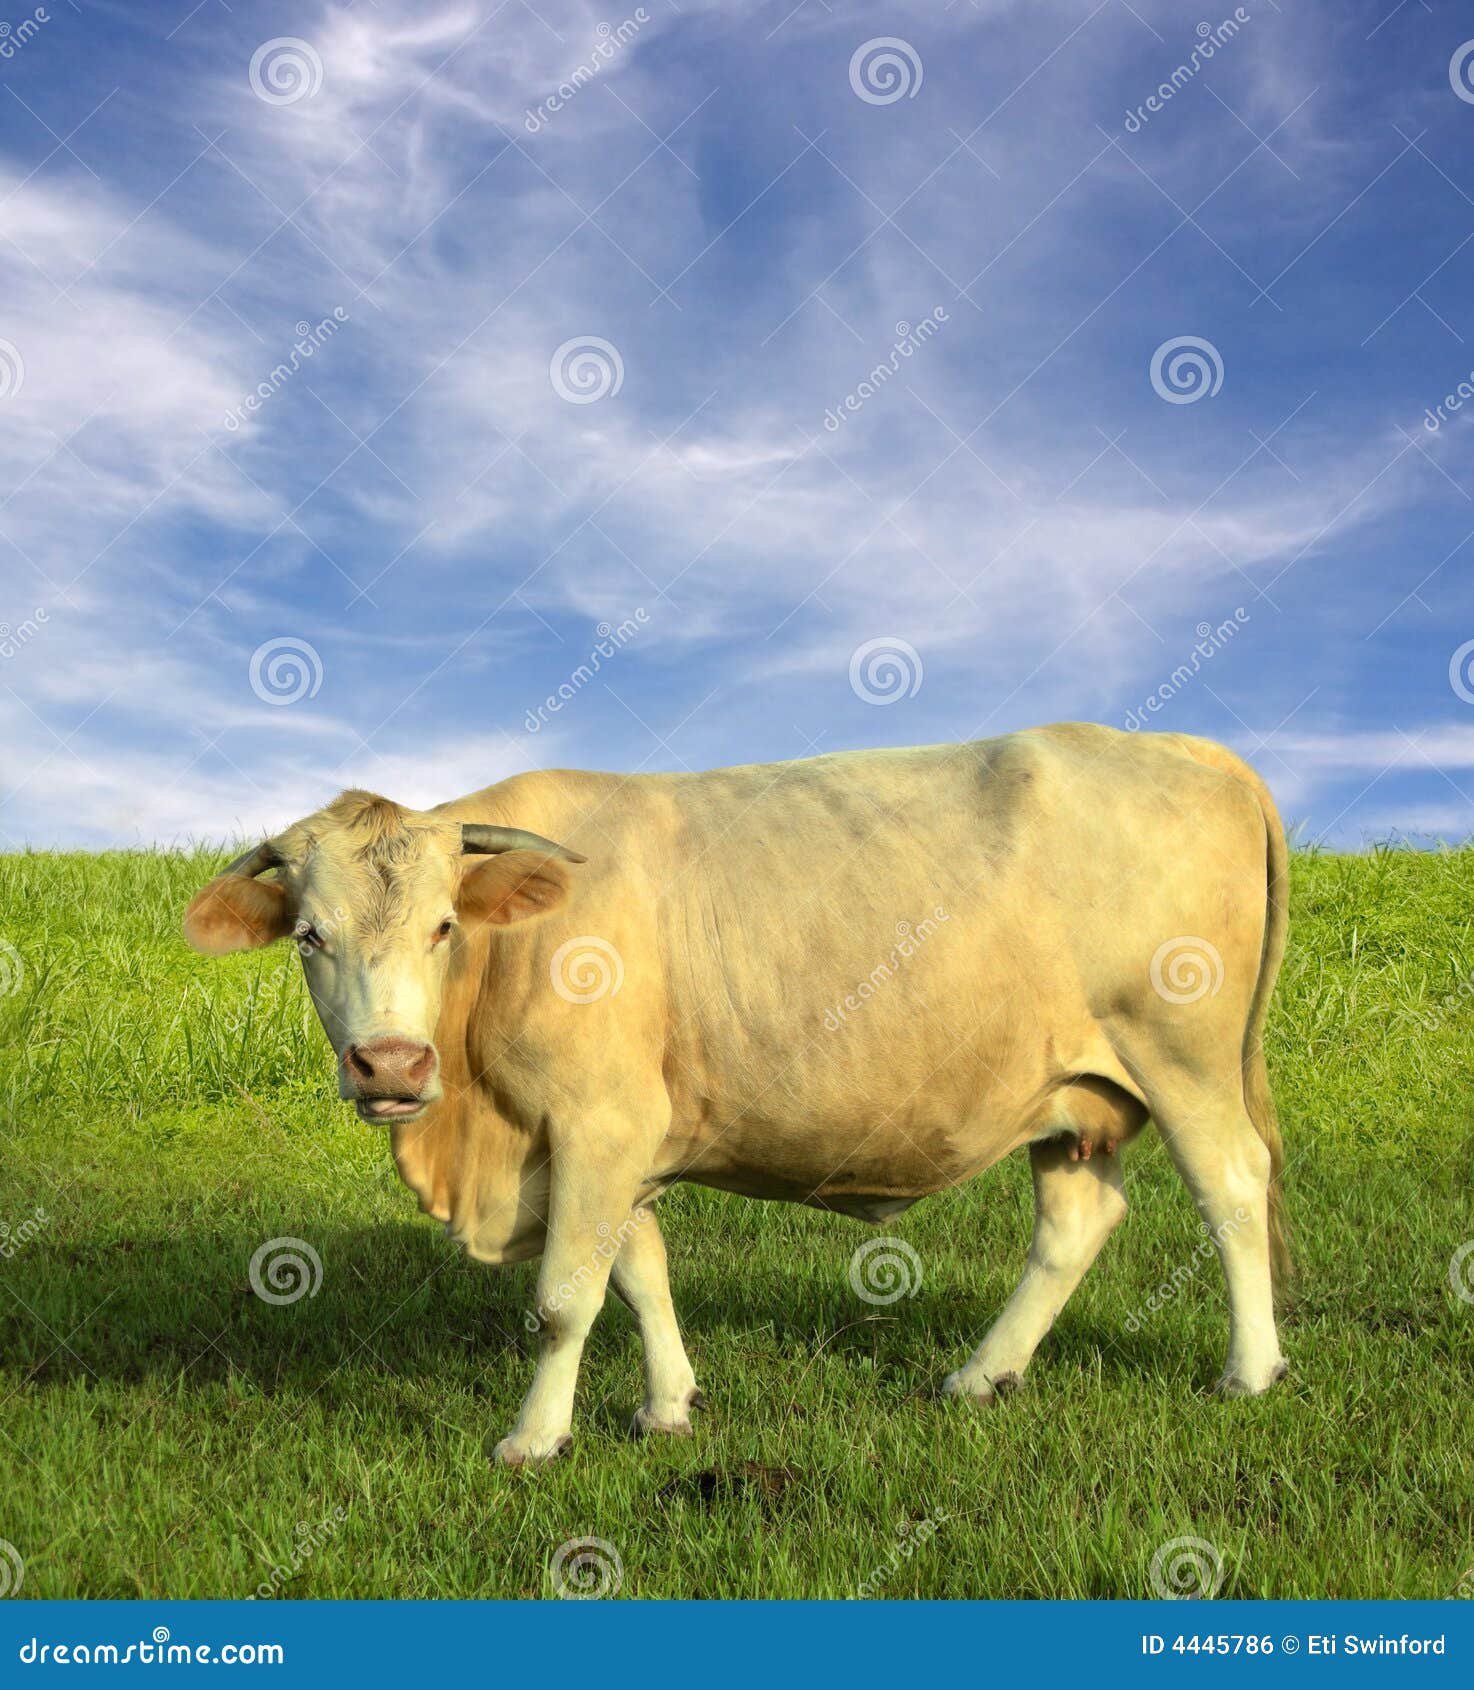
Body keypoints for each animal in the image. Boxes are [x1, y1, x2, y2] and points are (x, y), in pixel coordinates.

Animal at [183, 722, 1290, 1465]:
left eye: (443, 927)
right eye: (309, 935)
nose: (391, 1065)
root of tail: (1189, 748)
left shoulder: (600, 1119)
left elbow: (564, 1299)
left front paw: (534, 1437)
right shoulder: (613, 1131)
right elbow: (640, 1271)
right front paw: (667, 1404)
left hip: (1182, 1055)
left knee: (1233, 1189)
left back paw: (1250, 1371)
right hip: (1070, 1096)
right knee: (1075, 1222)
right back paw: (981, 1375)